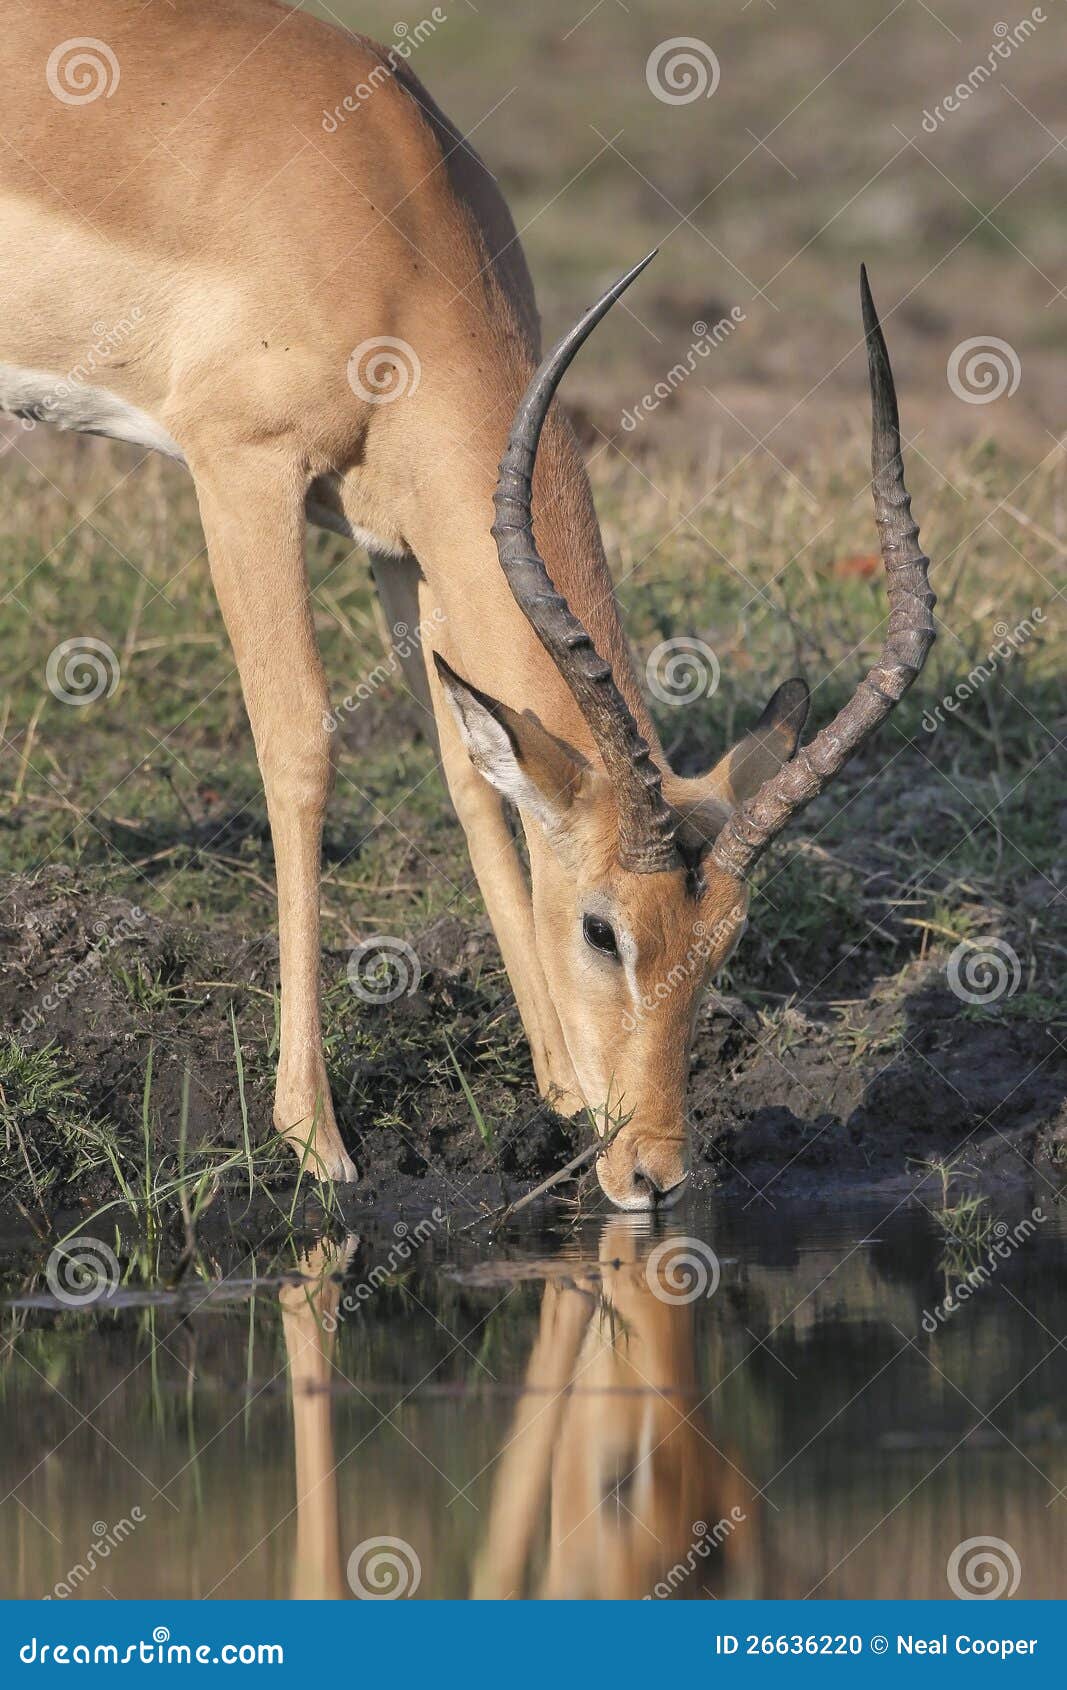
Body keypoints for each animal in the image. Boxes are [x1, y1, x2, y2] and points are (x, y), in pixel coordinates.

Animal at [1, 1, 934, 1210]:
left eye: (726, 939)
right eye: (602, 930)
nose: (653, 1172)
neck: (376, 219)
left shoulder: (403, 539)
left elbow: (466, 763)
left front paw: (561, 1092)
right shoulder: (244, 472)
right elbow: (300, 747)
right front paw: (315, 1139)